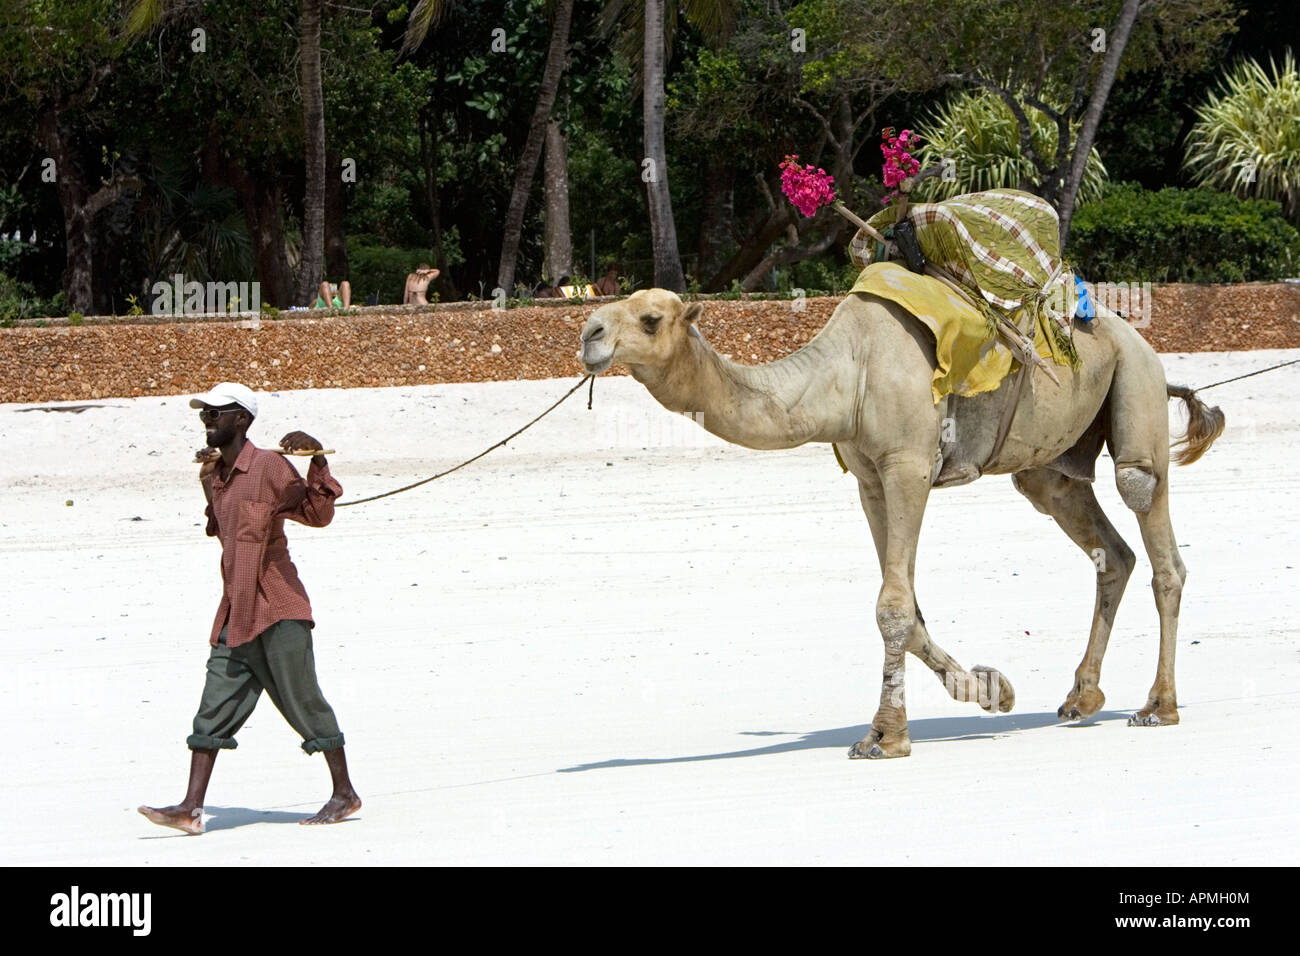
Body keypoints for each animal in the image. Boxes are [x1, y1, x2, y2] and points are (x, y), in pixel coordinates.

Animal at [579, 288, 1224, 758]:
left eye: (650, 319)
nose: (588, 334)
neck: (849, 374)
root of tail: (1144, 345)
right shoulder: (868, 478)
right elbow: (907, 608)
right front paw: (990, 689)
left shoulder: (908, 464)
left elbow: (891, 606)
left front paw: (886, 737)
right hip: (1051, 461)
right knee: (1105, 545)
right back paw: (1081, 697)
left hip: (1135, 385)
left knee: (1149, 512)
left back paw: (1158, 706)